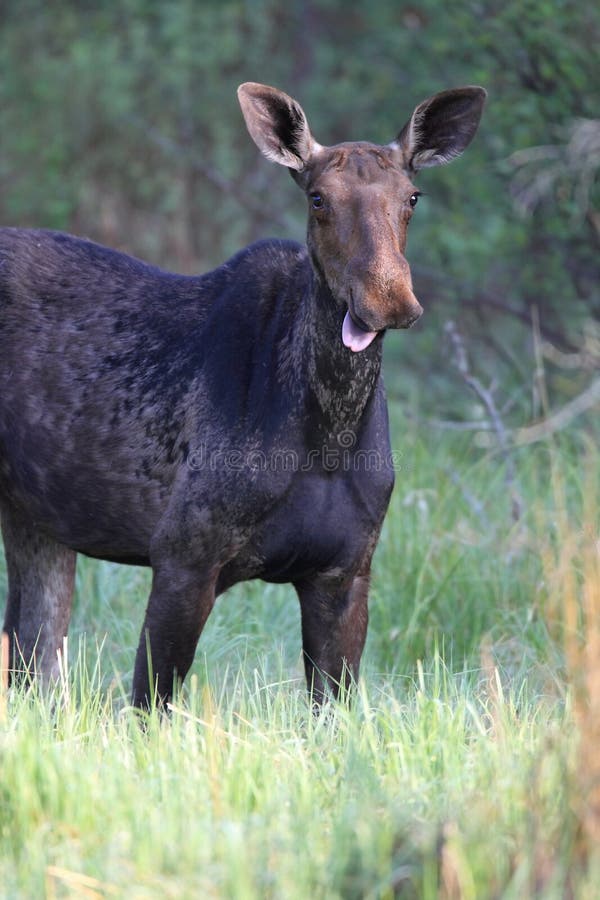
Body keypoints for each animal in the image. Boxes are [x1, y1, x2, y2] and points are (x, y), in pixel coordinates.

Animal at [0, 82, 485, 708]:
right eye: (318, 199)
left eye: (413, 197)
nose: (388, 298)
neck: (328, 434)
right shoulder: (182, 557)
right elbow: (147, 705)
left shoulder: (346, 572)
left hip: (37, 520)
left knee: (32, 657)